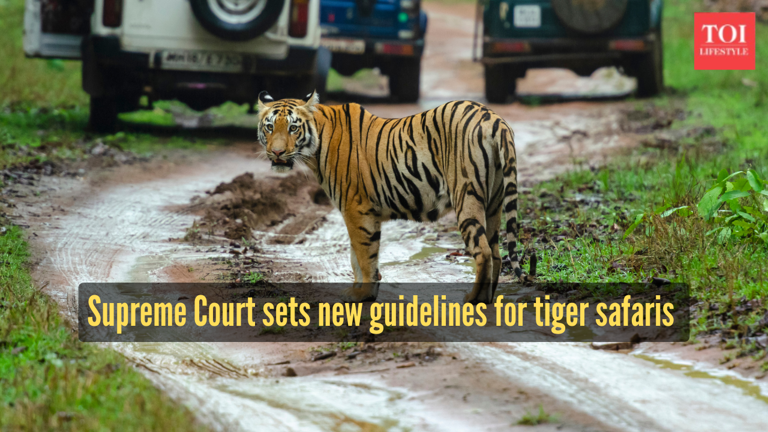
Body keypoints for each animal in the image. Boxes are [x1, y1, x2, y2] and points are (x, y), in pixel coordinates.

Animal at [256, 91, 525, 304]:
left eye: (293, 127)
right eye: (269, 127)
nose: (277, 153)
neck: (316, 147)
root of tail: (494, 118)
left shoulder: (356, 209)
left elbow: (364, 255)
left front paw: (361, 294)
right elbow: (357, 256)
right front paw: (362, 290)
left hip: (466, 195)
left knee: (484, 252)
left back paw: (473, 299)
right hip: (493, 203)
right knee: (496, 252)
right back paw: (488, 298)